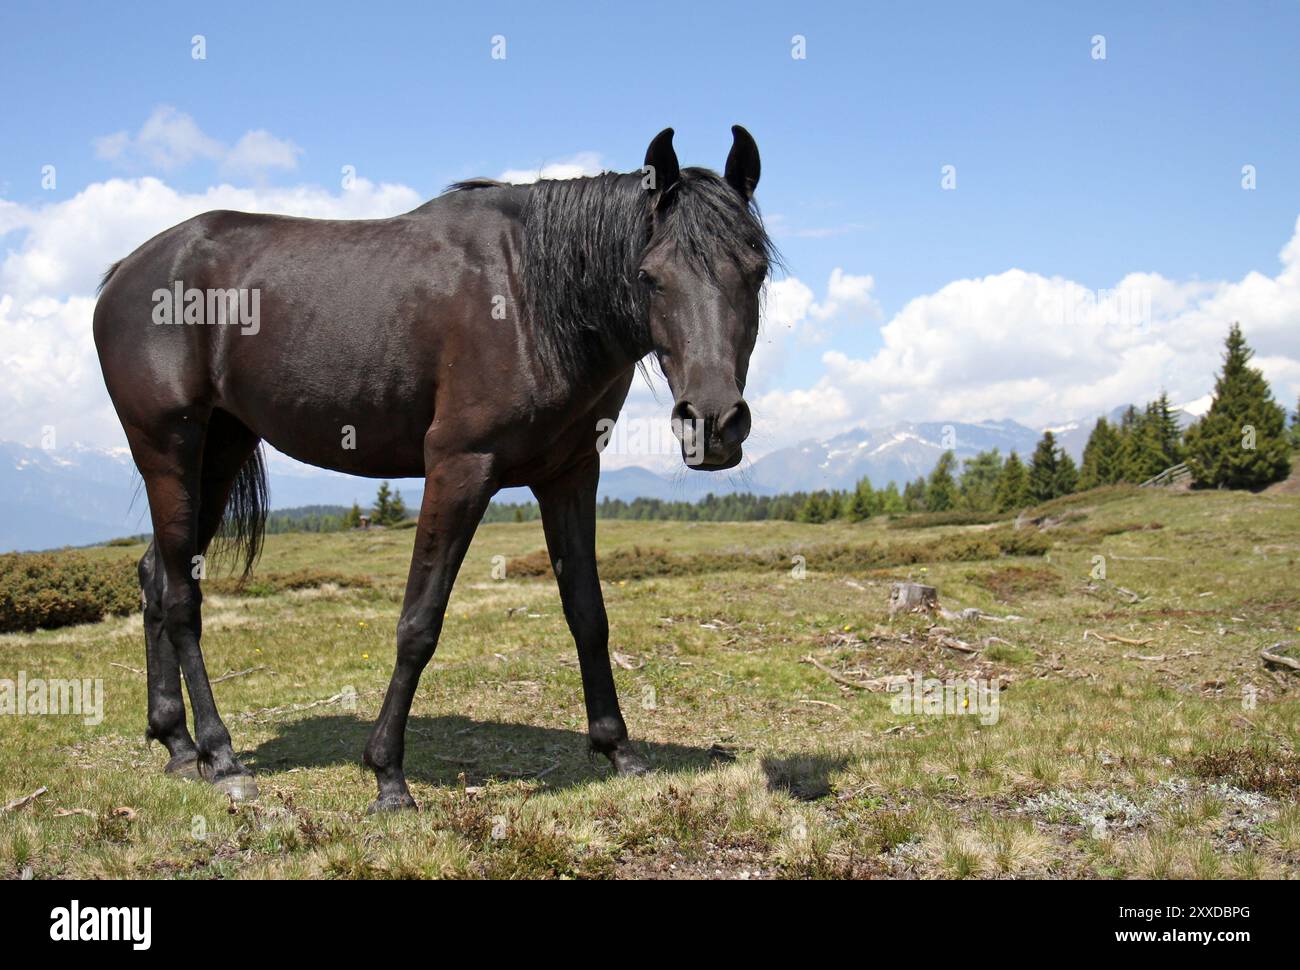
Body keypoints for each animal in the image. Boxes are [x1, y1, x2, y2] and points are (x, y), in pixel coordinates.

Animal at [94, 126, 773, 811]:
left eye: (756, 269)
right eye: (650, 276)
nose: (712, 422)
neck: (528, 298)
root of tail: (125, 272)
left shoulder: (571, 475)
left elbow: (588, 613)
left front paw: (618, 748)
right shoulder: (459, 468)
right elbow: (419, 622)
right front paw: (387, 775)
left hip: (221, 448)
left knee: (156, 575)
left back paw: (178, 743)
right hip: (168, 449)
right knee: (181, 597)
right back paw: (222, 754)